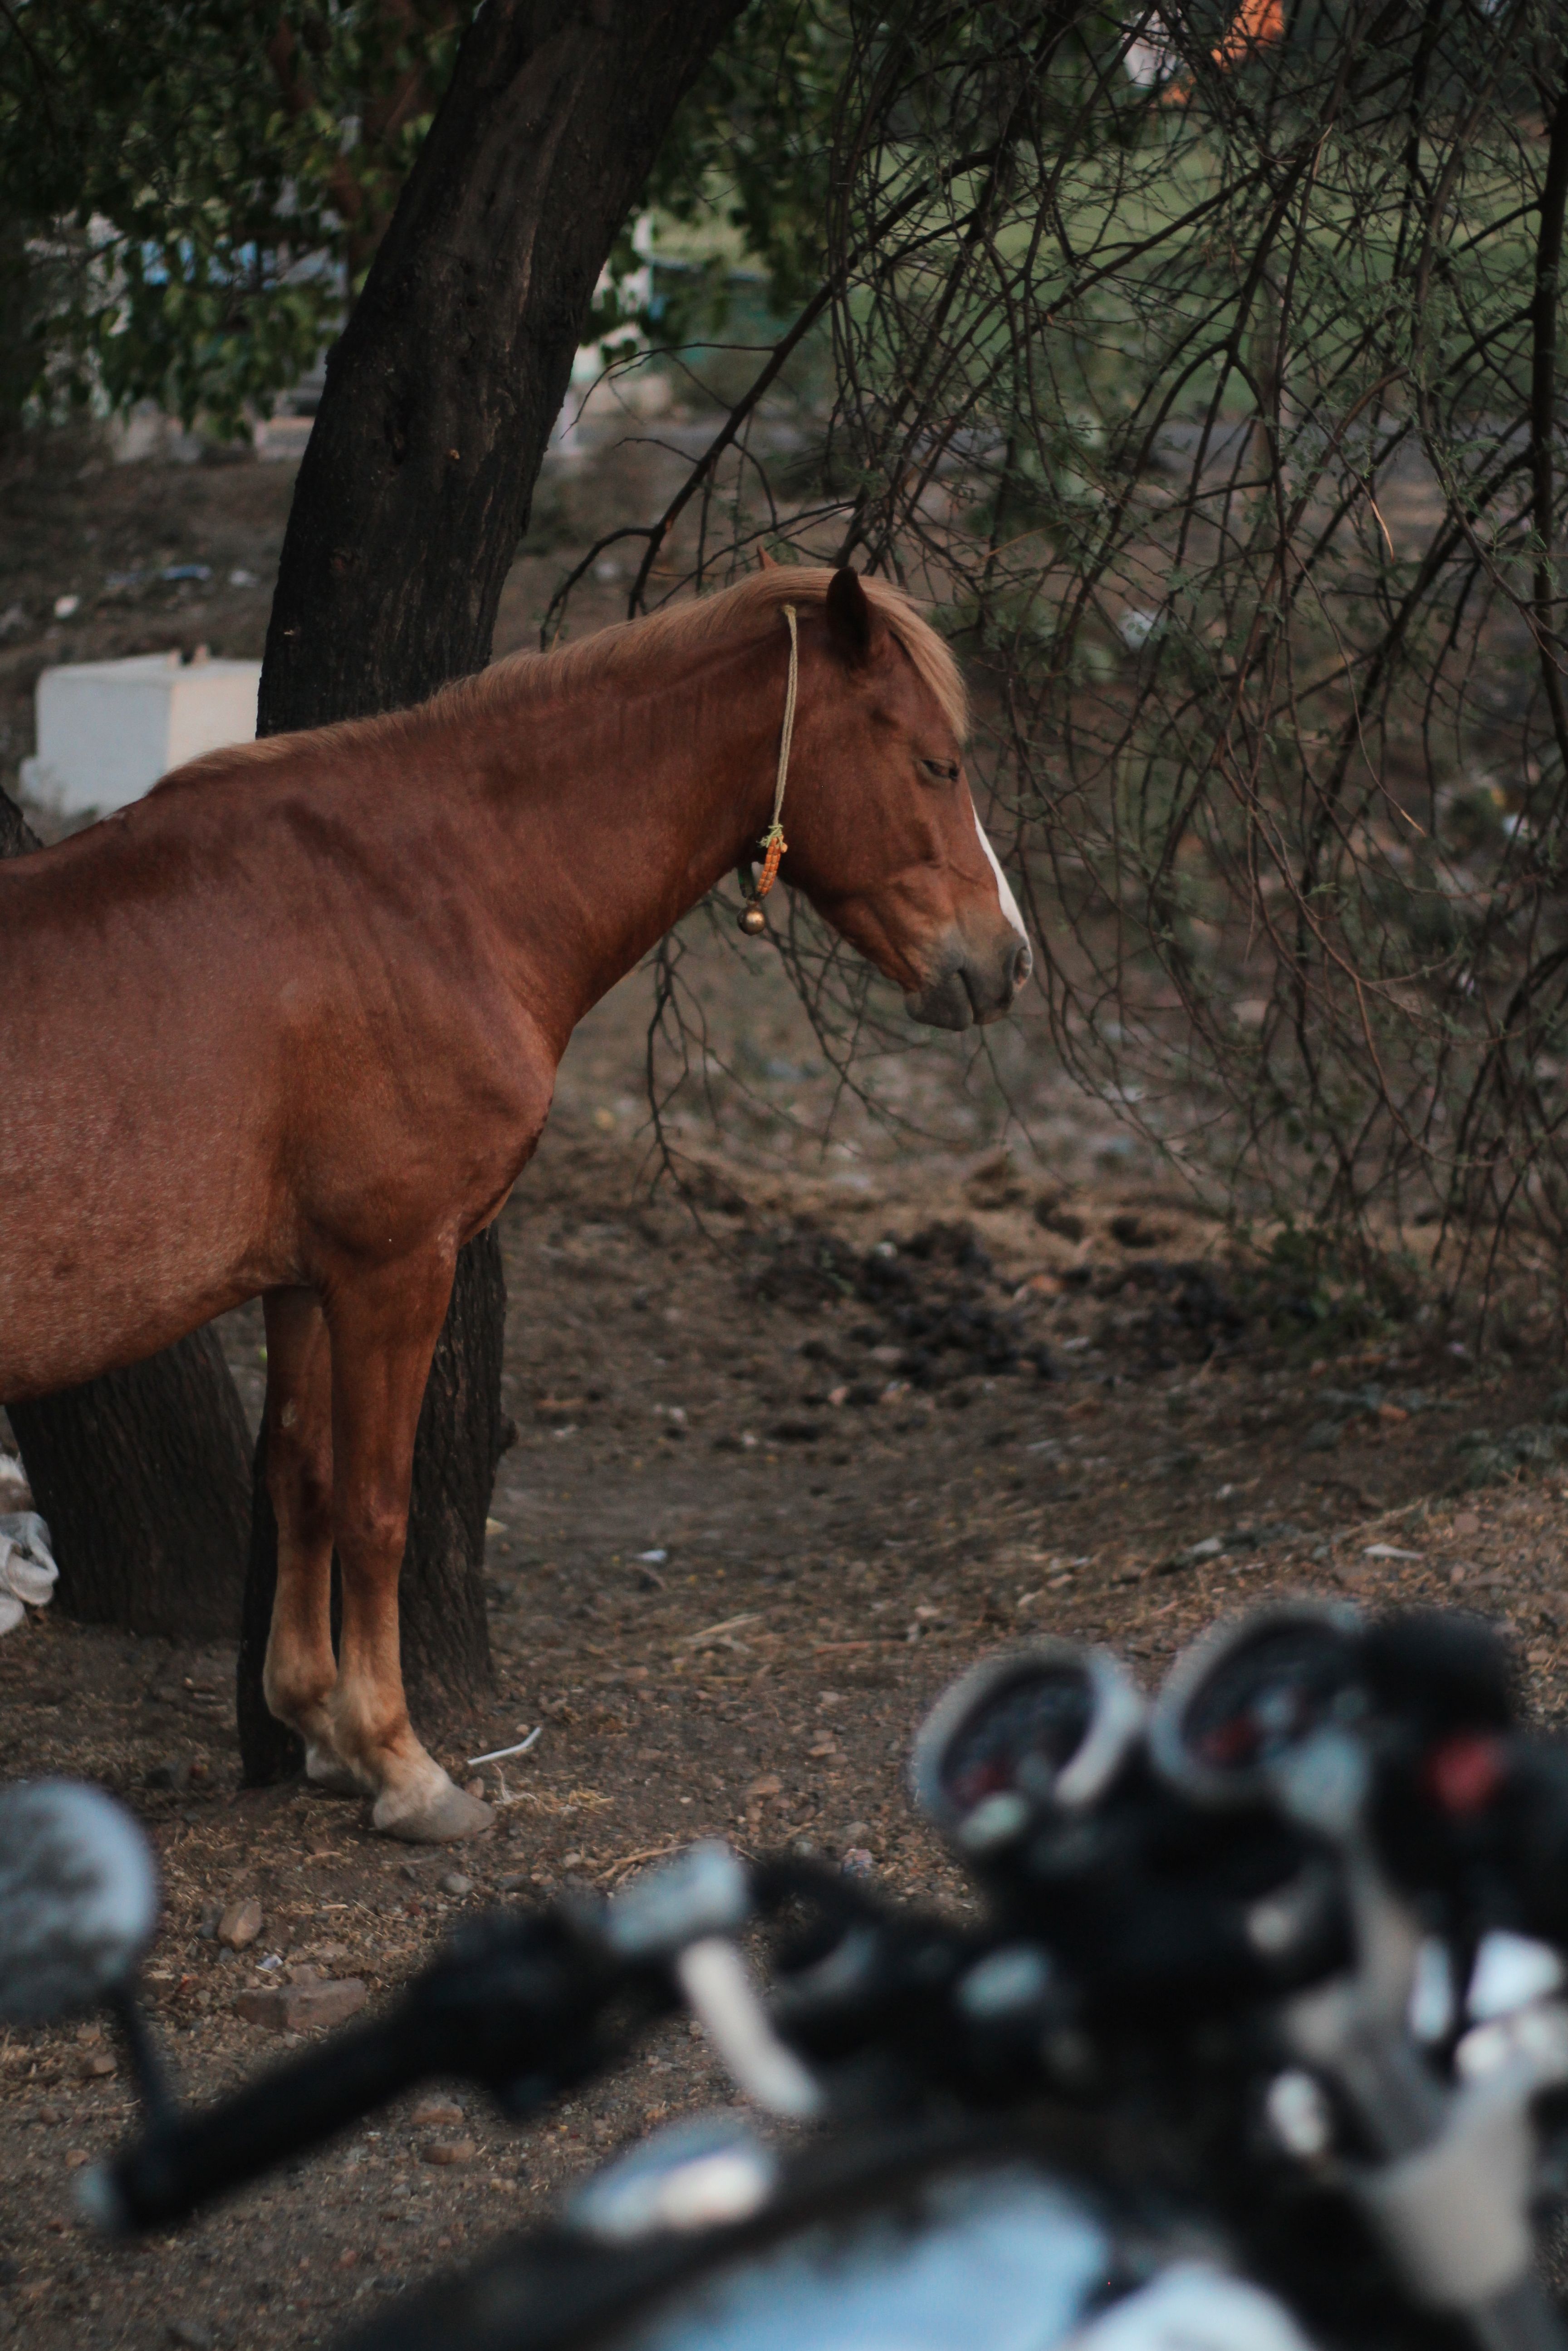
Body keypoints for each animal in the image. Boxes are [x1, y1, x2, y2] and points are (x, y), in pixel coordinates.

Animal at [0, 566, 1031, 1841]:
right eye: (937, 762)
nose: (1006, 959)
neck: (413, 898)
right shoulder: (396, 1266)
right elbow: (378, 1505)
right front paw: (402, 1763)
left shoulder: (305, 1279)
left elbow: (301, 1475)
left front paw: (318, 1724)